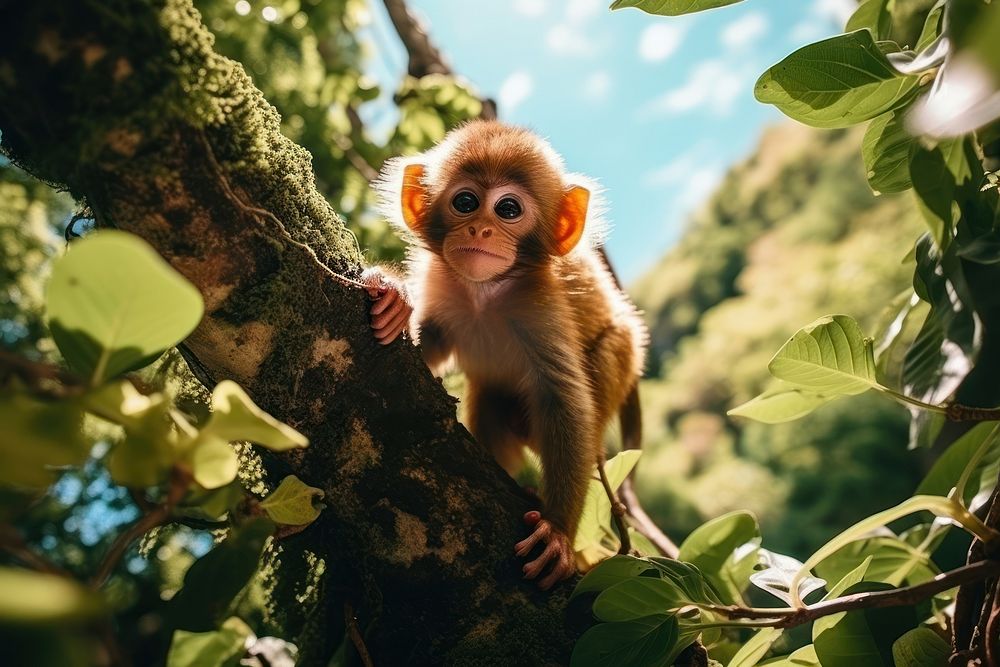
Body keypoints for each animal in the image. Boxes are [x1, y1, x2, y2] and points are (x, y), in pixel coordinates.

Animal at [363, 121, 647, 590]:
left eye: (508, 209)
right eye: (465, 202)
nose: (480, 230)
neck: (484, 294)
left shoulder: (540, 306)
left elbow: (565, 402)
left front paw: (558, 534)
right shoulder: (442, 283)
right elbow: (429, 350)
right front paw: (394, 298)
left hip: (622, 353)